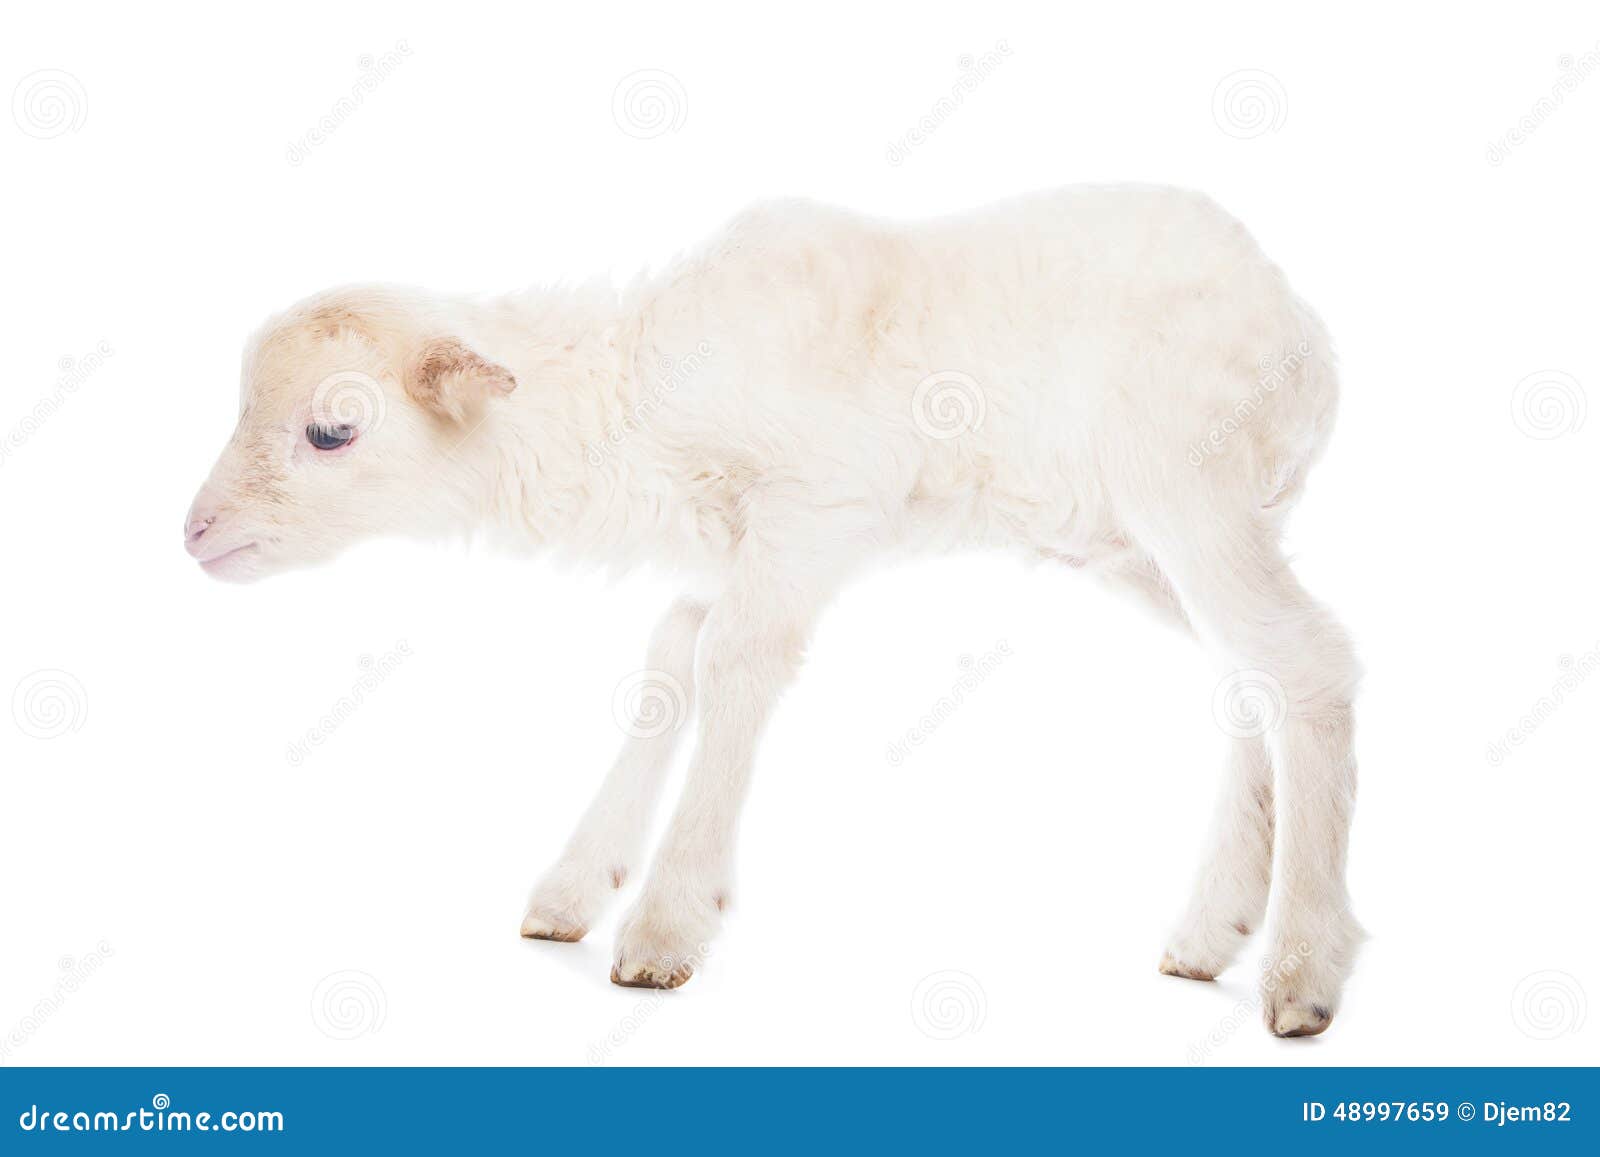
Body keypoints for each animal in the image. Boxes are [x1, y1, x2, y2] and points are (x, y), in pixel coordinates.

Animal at [184, 185, 1361, 1037]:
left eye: (332, 429)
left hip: (1190, 482)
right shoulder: (718, 545)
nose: (194, 534)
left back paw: (1303, 969)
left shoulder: (812, 509)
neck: (634, 407)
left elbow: (736, 665)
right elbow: (667, 666)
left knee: (1310, 659)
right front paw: (577, 886)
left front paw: (665, 923)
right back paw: (1212, 928)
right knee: (1247, 670)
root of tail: (1305, 330)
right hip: (1128, 537)